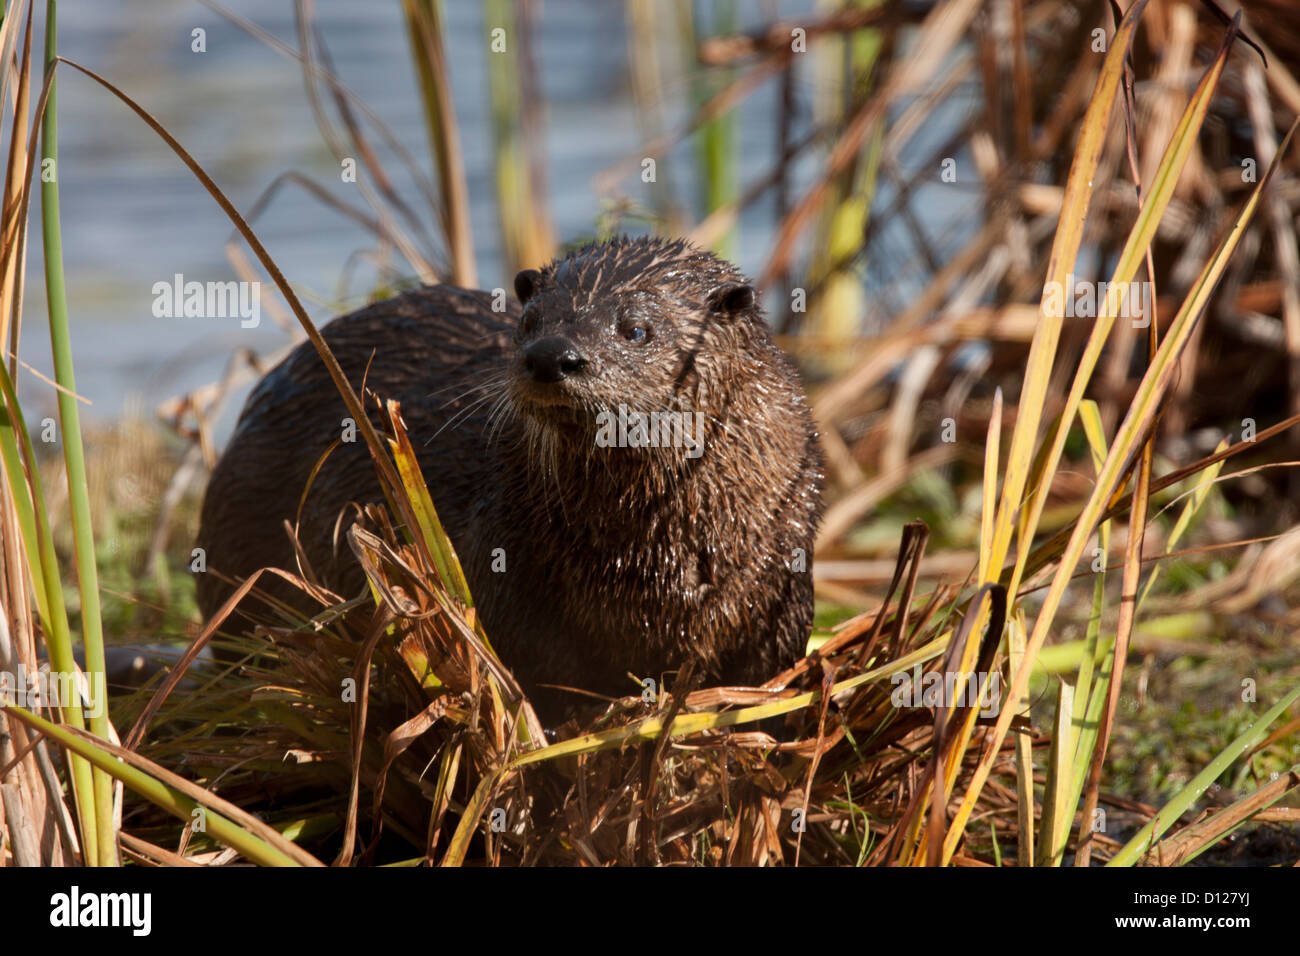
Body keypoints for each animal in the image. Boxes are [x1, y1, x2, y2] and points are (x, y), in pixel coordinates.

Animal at [195, 236, 825, 719]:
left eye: (636, 329)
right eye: (530, 321)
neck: (650, 554)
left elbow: (773, 664)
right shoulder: (503, 553)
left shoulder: (782, 569)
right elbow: (528, 657)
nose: (552, 355)